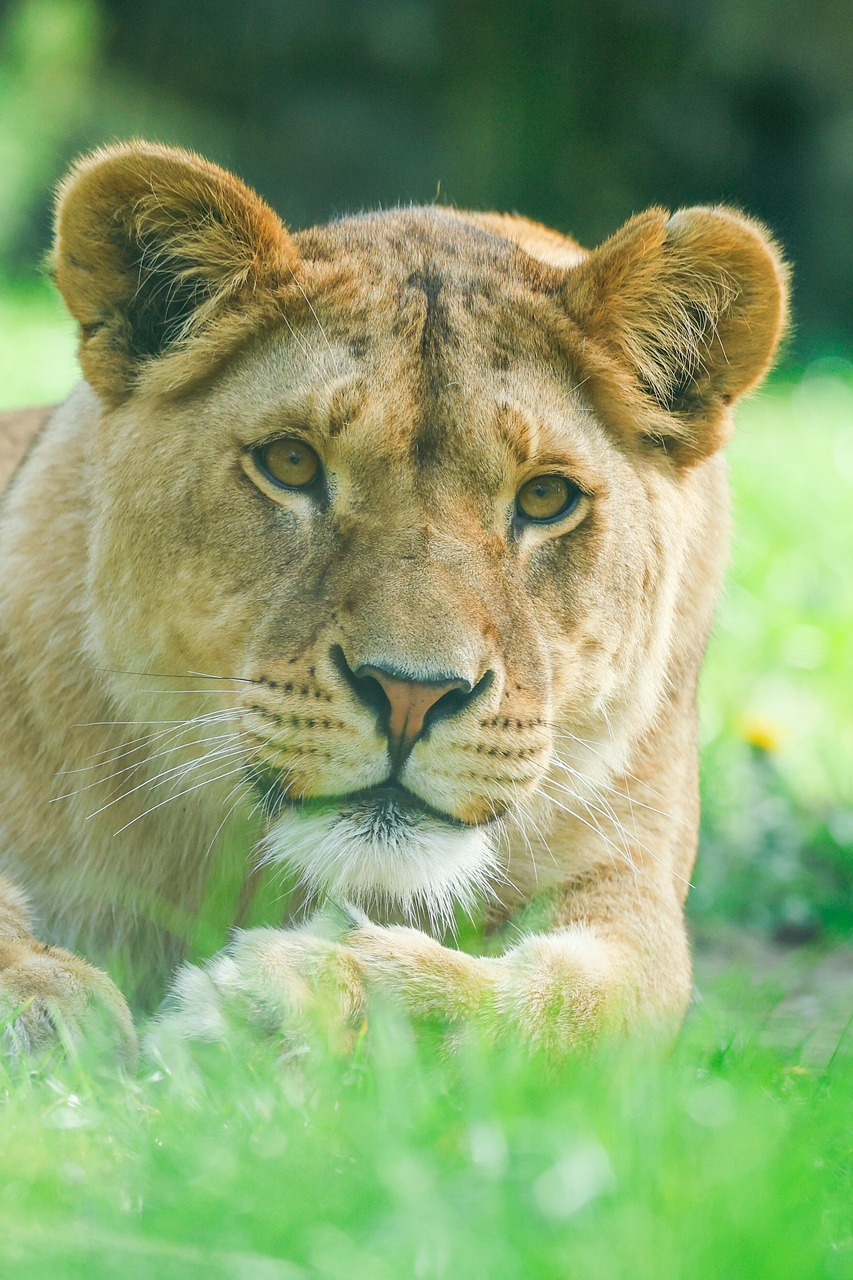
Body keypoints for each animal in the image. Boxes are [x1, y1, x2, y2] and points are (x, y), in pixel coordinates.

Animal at [0, 142, 788, 1059]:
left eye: (545, 497)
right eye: (292, 464)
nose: (412, 696)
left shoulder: (631, 902)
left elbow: (562, 1010)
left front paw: (281, 1002)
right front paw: (42, 997)